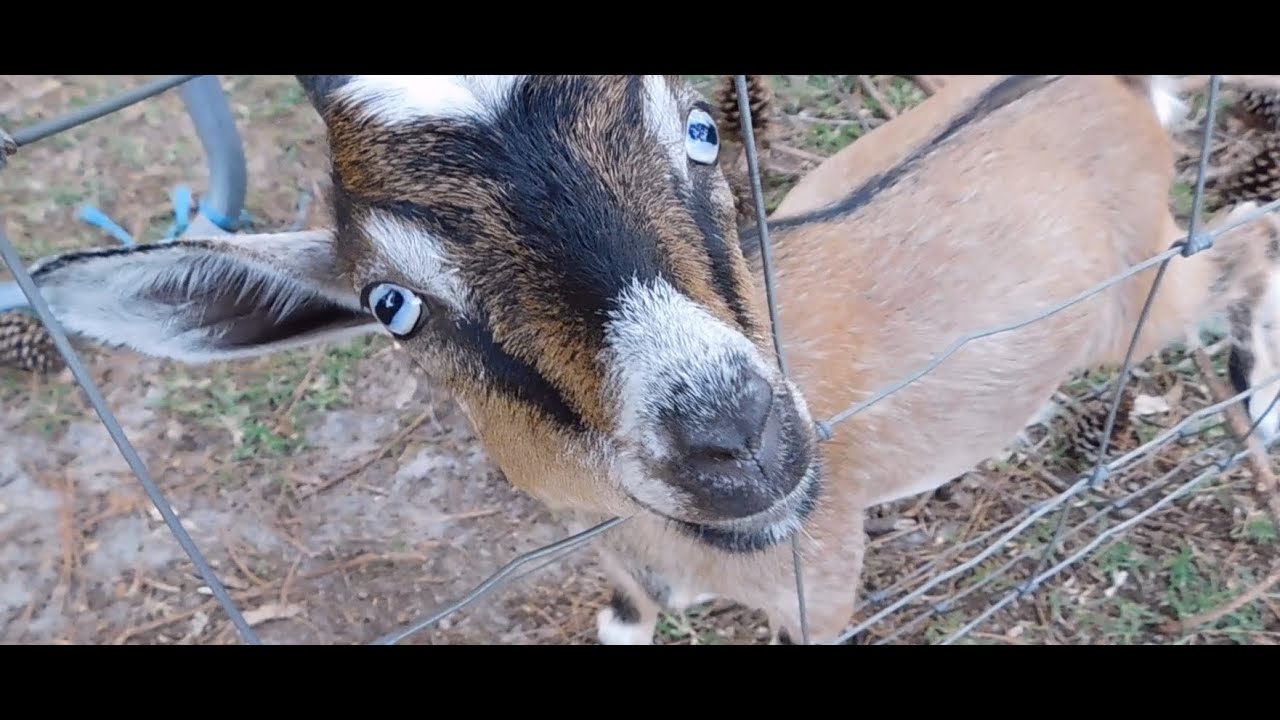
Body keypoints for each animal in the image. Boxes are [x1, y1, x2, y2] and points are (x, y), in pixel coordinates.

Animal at [22, 75, 1280, 645]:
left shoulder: (819, 589)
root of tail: (1105, 92)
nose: (737, 438)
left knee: (1244, 240)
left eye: (698, 128)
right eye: (391, 304)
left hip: (1132, 302)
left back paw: (1257, 414)